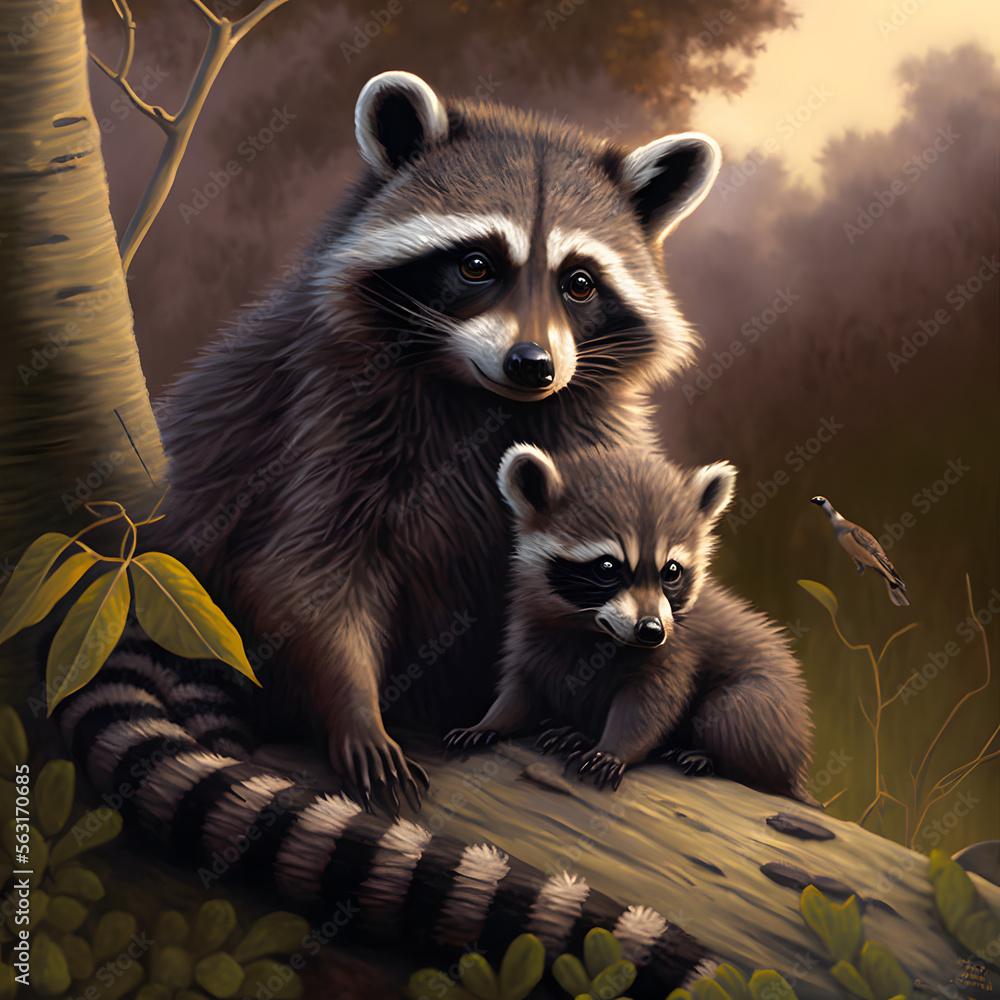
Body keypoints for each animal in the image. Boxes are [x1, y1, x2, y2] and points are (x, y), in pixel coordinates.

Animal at [445, 444, 815, 802]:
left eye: (671, 571)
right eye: (607, 567)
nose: (651, 631)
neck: (593, 630)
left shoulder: (678, 648)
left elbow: (651, 705)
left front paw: (614, 750)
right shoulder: (529, 630)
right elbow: (520, 687)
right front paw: (490, 722)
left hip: (768, 703)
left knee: (734, 712)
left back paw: (706, 755)